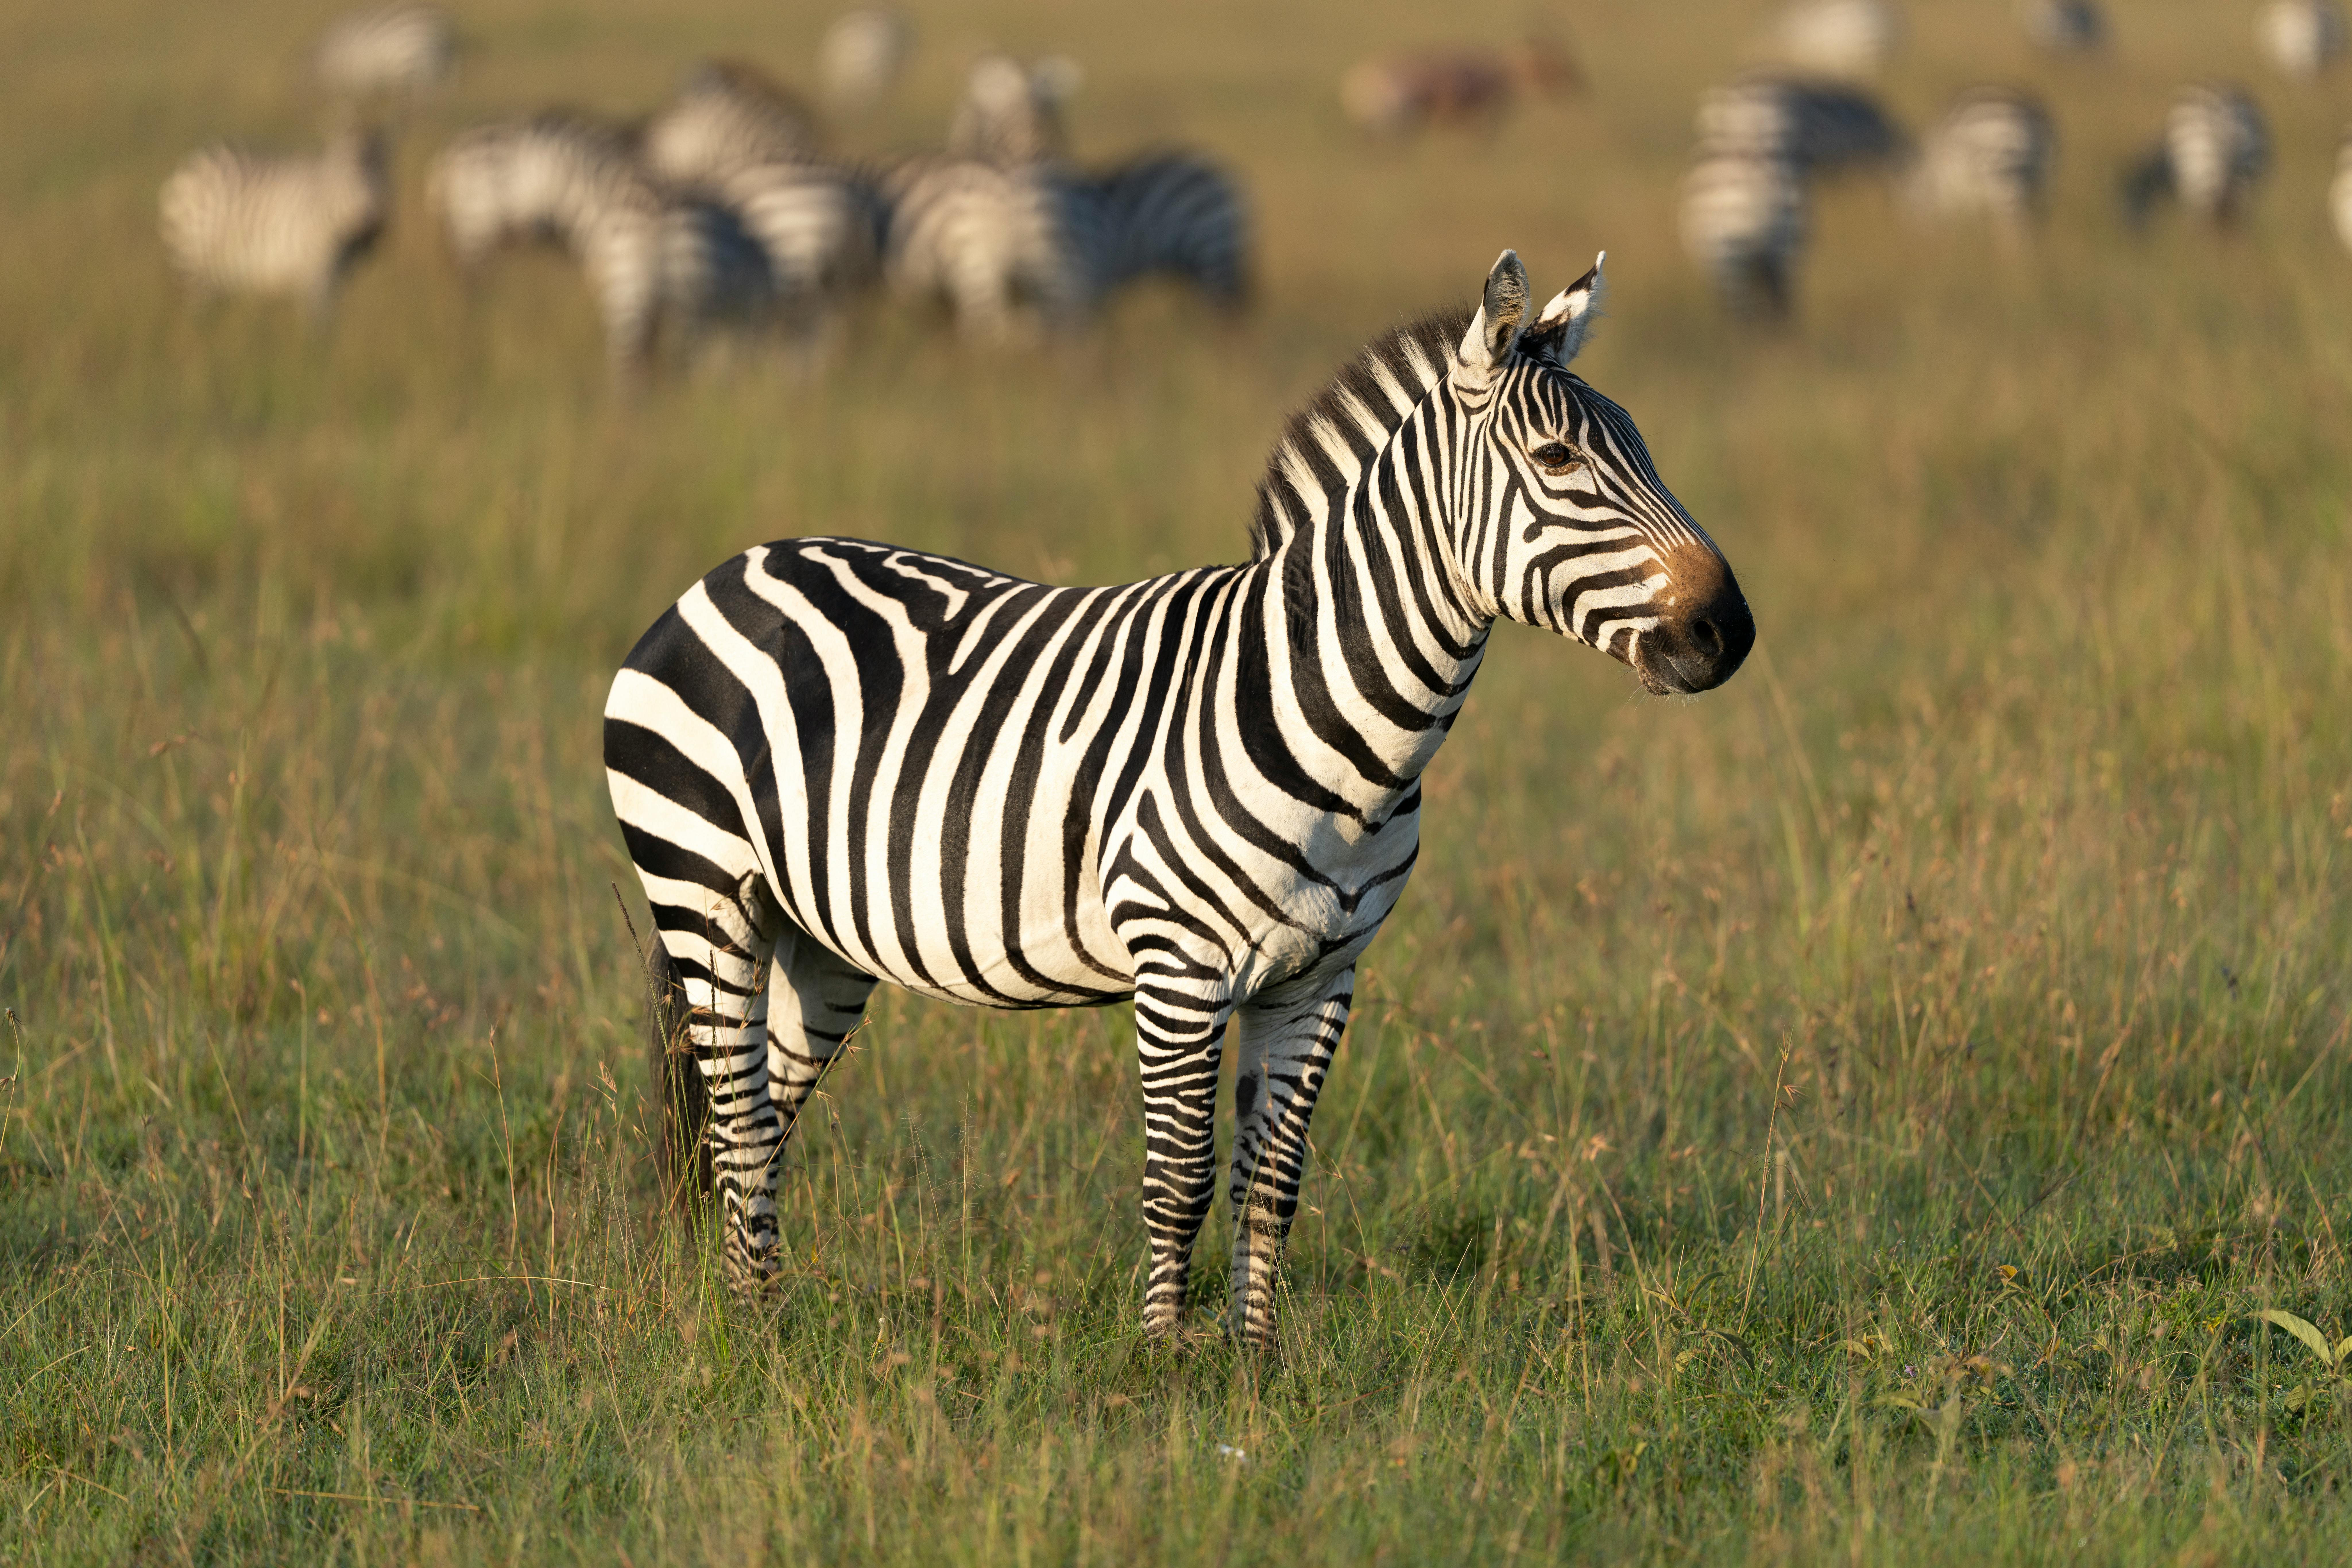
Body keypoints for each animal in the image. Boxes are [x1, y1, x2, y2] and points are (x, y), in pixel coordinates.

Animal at [158, 125, 390, 320]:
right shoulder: (317, 275)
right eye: (352, 177)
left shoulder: (341, 277)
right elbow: (319, 328)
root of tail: (200, 157)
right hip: (193, 266)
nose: (374, 232)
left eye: (386, 176)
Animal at [604, 249, 1754, 1346]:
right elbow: (1180, 1176)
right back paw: (756, 1335)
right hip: (706, 893)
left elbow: (1271, 1182)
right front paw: (1164, 1355)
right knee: (739, 1120)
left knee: (756, 1117)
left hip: (820, 939)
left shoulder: (1322, 975)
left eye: (1642, 451)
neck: (1336, 723)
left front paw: (1256, 1358)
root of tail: (727, 571)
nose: (1728, 632)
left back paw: (757, 1310)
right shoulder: (1179, 966)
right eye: (1558, 461)